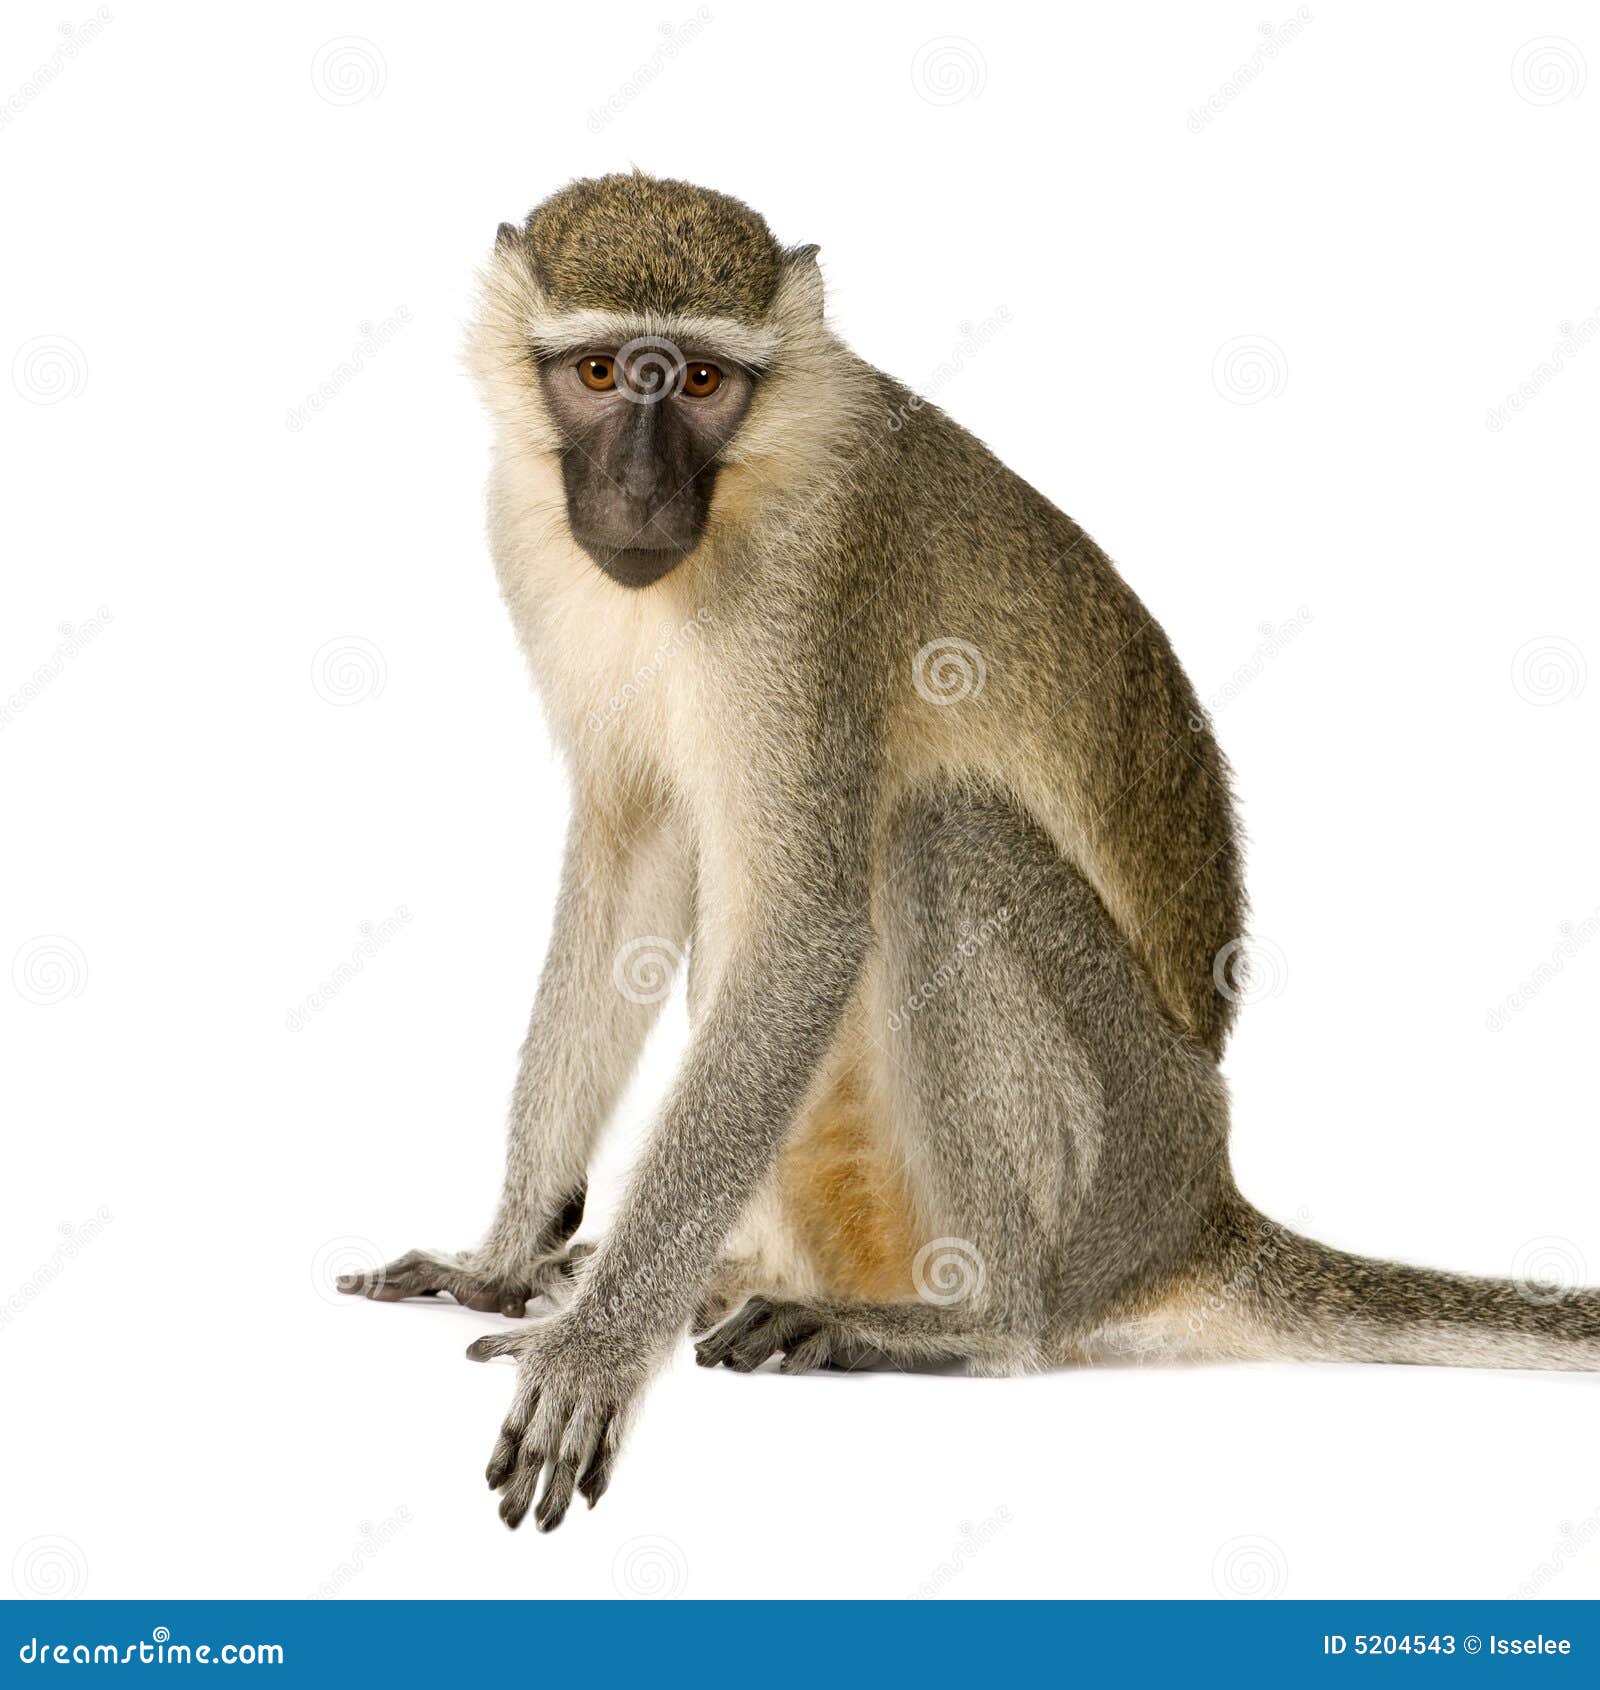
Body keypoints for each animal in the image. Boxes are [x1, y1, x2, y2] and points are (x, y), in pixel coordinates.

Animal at [339, 171, 1600, 1533]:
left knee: (940, 834)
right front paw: (506, 1256)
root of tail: (1200, 1208)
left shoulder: (808, 589)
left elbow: (807, 932)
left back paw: (971, 1320)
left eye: (702, 385)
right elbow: (630, 869)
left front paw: (597, 1349)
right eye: (599, 371)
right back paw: (726, 1265)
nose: (636, 484)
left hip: (1123, 1162)